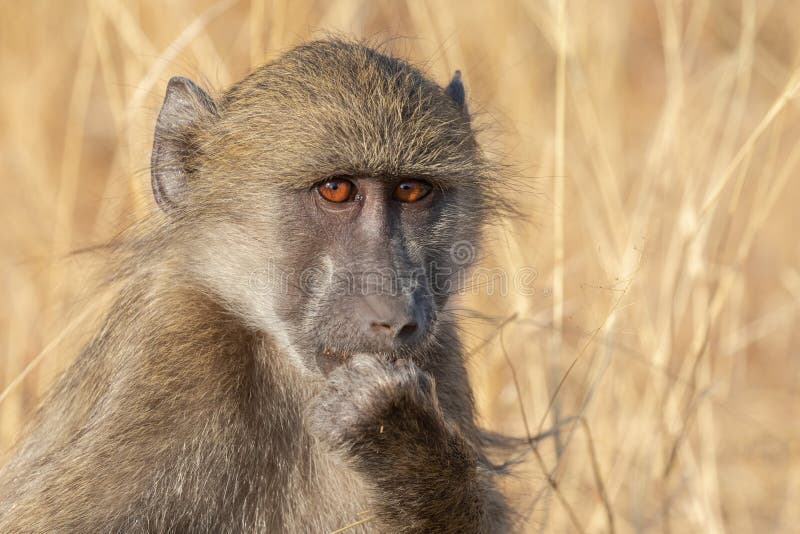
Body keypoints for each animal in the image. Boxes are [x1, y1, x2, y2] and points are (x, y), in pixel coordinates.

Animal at [0, 39, 513, 532]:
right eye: (336, 190)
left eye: (411, 191)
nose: (396, 317)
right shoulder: (177, 363)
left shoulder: (440, 353)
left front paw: (401, 433)